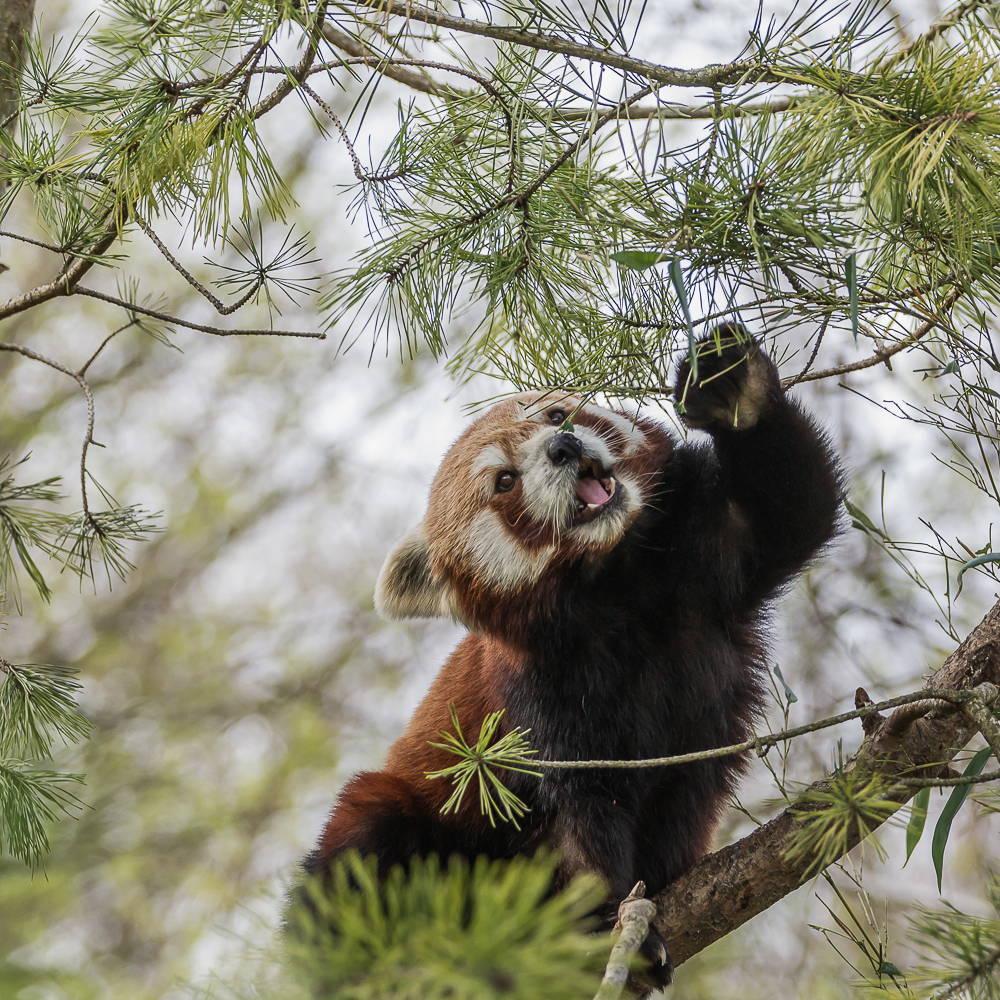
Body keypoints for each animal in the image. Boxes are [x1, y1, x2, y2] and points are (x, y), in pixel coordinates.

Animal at [303, 326, 842, 984]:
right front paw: (612, 920)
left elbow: (795, 508)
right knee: (361, 837)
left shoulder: (707, 563)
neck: (618, 581)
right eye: (504, 481)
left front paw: (736, 387)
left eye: (557, 415)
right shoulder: (540, 694)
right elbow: (578, 812)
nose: (563, 447)